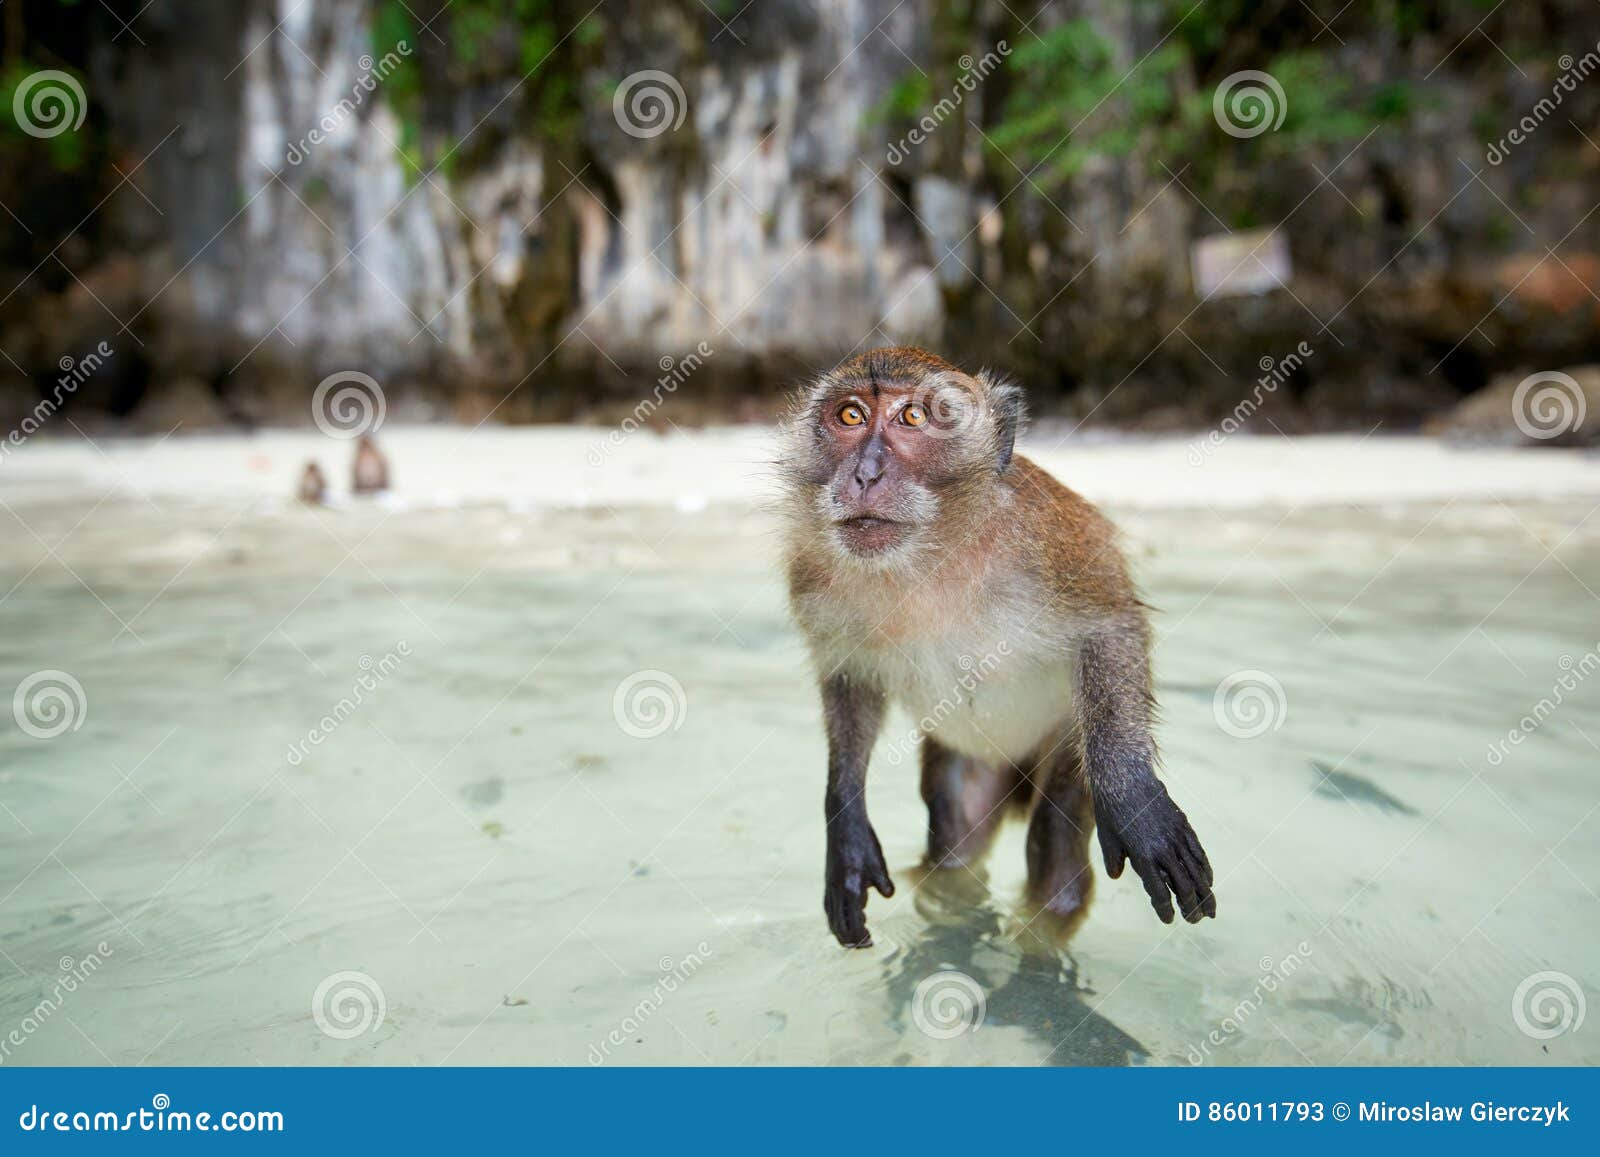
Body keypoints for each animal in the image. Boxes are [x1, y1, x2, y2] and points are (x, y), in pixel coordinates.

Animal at [779, 347, 1214, 949]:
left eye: (913, 417)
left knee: (1054, 848)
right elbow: (849, 676)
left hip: (1064, 742)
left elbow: (1111, 624)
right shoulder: (811, 567)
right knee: (956, 839)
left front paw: (1133, 798)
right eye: (849, 416)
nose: (865, 474)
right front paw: (845, 825)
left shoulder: (1044, 543)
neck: (929, 554)